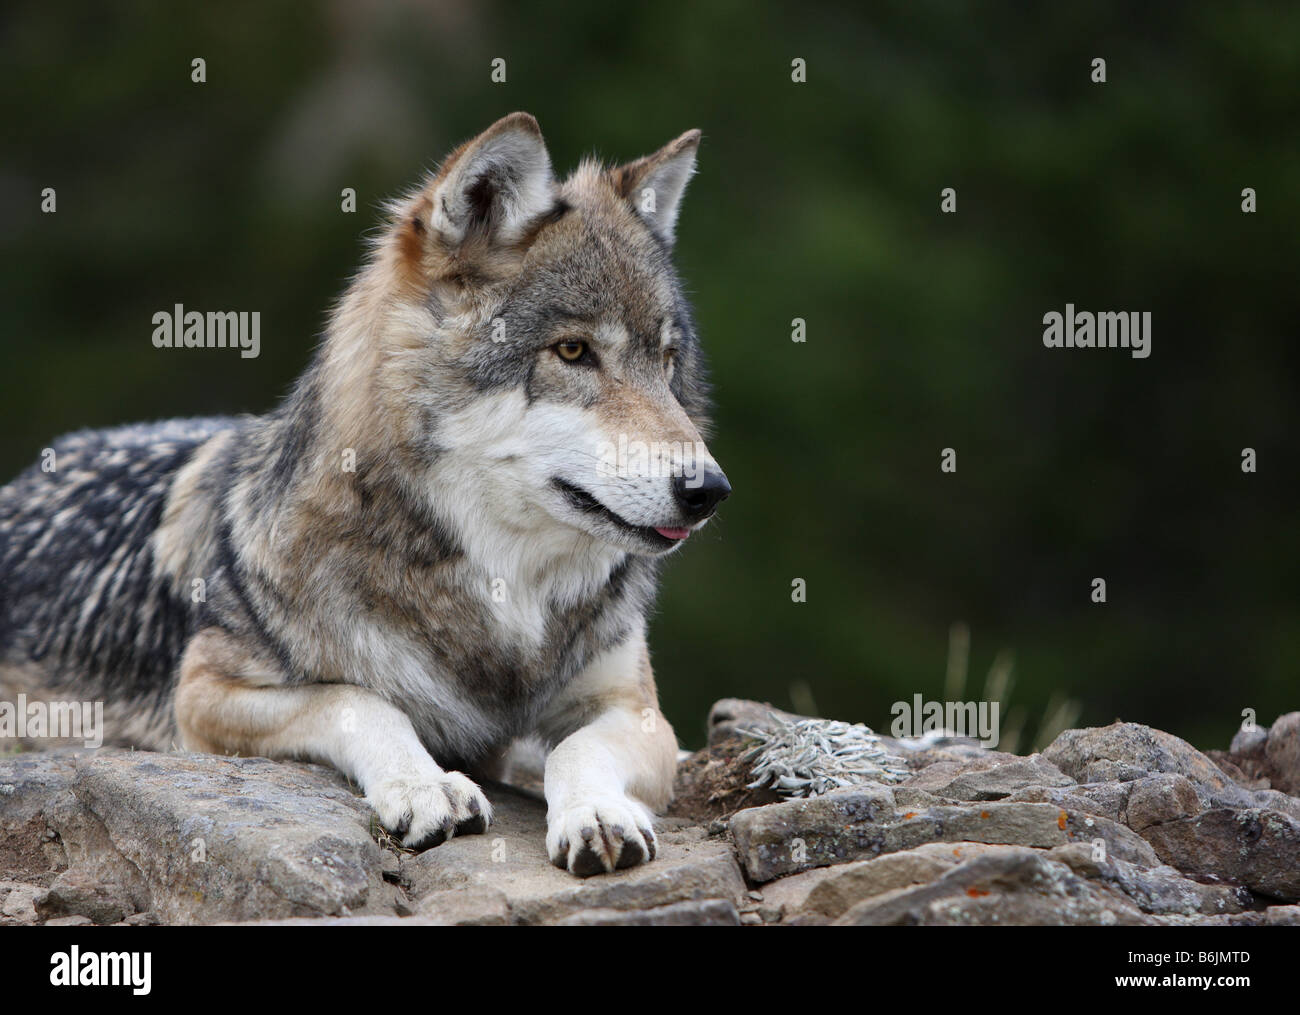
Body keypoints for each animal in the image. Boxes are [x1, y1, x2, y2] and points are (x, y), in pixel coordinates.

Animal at [0, 113, 730, 876]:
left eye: (666, 361)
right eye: (572, 352)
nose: (709, 489)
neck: (503, 594)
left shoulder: (634, 708)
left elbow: (577, 747)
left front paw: (594, 811)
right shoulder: (202, 694)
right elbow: (360, 700)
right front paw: (426, 784)